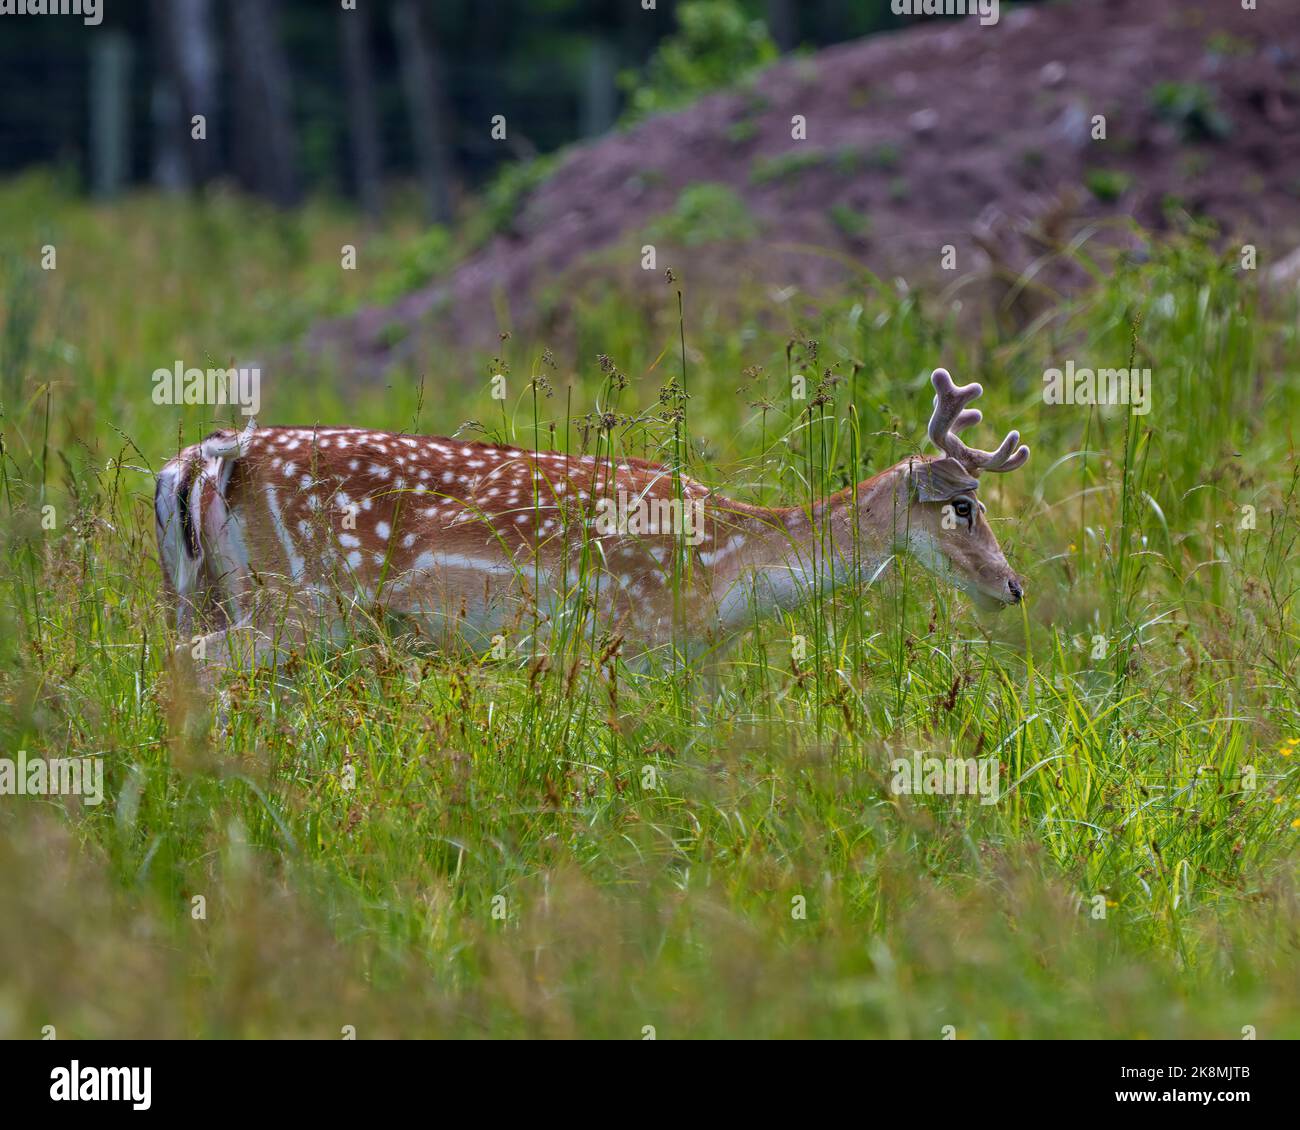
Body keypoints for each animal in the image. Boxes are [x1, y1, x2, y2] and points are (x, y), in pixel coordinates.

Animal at [154, 368, 1029, 677]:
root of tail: (202, 461)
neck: (726, 567)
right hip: (298, 600)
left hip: (215, 595)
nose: (1014, 587)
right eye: (965, 504)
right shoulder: (634, 637)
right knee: (196, 666)